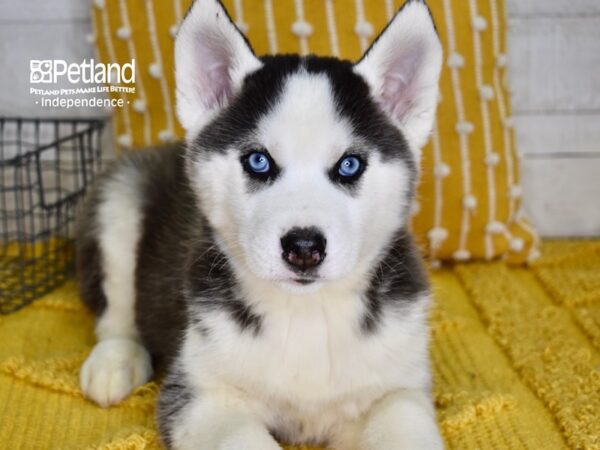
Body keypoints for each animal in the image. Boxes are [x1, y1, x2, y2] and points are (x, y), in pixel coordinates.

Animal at [75, 1, 442, 448]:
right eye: (258, 160)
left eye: (350, 165)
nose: (304, 248)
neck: (307, 315)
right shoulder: (201, 395)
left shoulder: (399, 391)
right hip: (120, 198)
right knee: (116, 307)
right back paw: (116, 361)